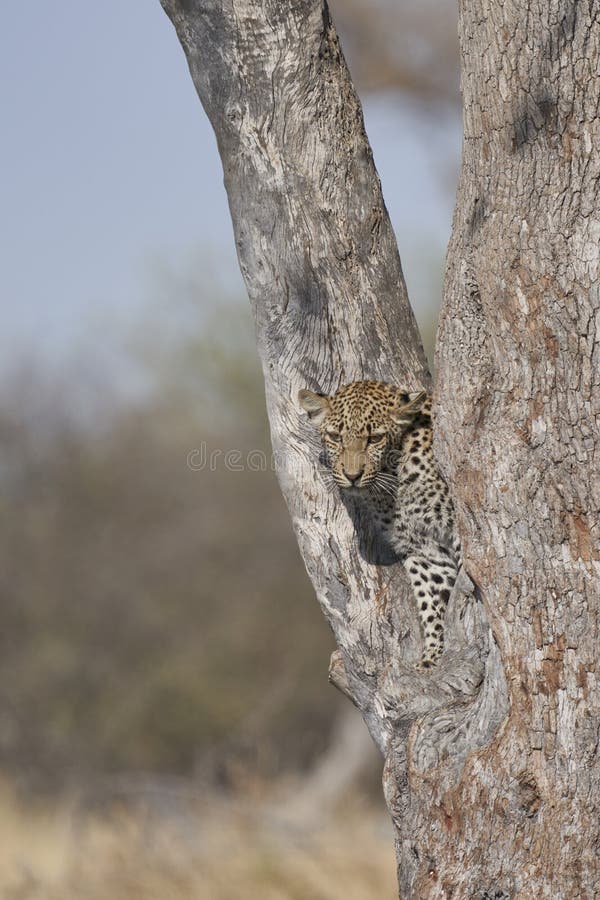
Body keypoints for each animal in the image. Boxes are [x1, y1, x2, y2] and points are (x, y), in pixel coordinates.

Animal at [298, 380, 461, 668]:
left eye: (375, 439)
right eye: (336, 437)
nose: (352, 476)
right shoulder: (423, 549)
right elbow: (432, 603)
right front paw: (431, 657)